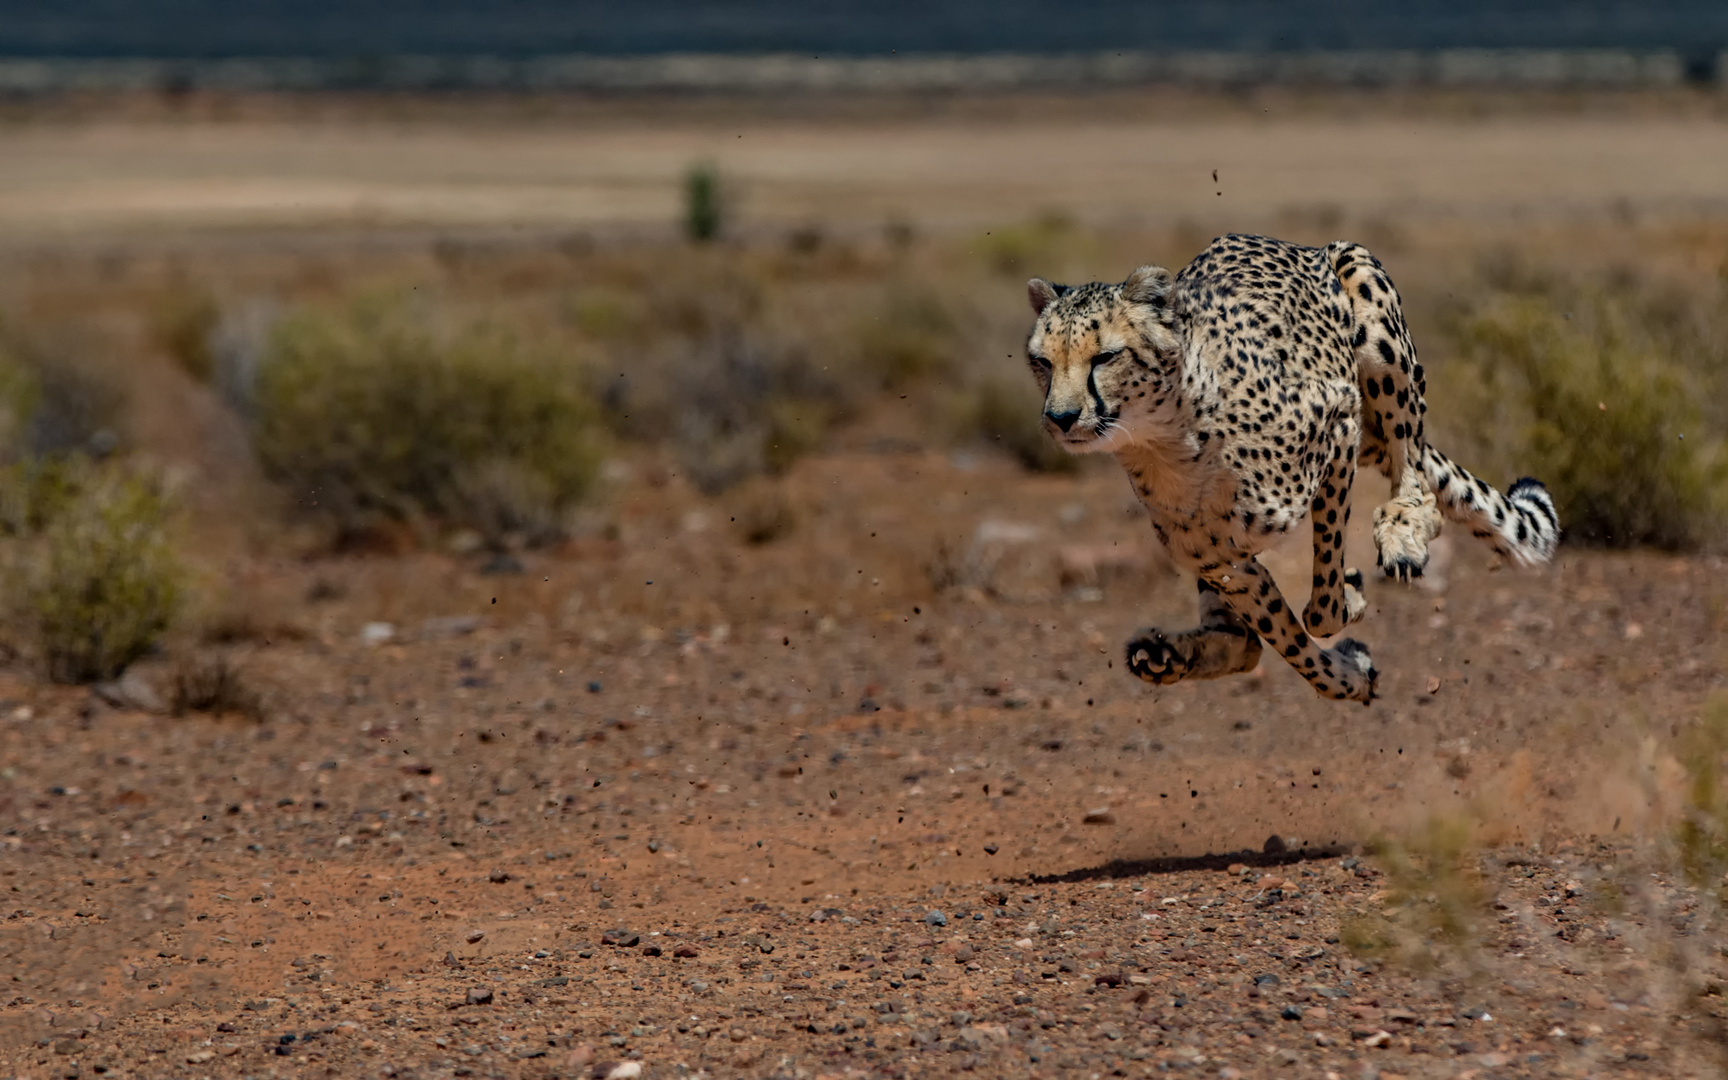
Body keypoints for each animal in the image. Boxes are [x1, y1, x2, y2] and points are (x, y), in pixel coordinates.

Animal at [1022, 233, 1569, 698]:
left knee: (1415, 474)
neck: (1166, 441)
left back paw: (1404, 532)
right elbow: (1287, 639)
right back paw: (1168, 656)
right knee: (1245, 645)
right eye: (1042, 362)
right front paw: (1349, 677)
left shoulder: (1339, 423)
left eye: (1105, 357)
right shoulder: (1225, 565)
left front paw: (1351, 600)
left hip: (1368, 306)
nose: (1060, 417)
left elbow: (1321, 606)